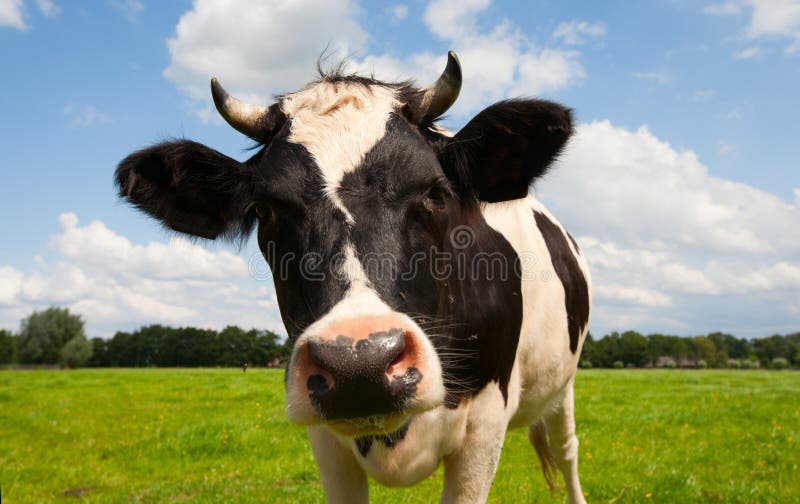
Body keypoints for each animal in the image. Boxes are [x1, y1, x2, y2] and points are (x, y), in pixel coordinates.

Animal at [115, 51, 591, 503]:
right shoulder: (324, 435)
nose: (359, 364)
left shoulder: (485, 422)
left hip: (565, 383)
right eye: (265, 209)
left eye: (436, 193)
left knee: (568, 449)